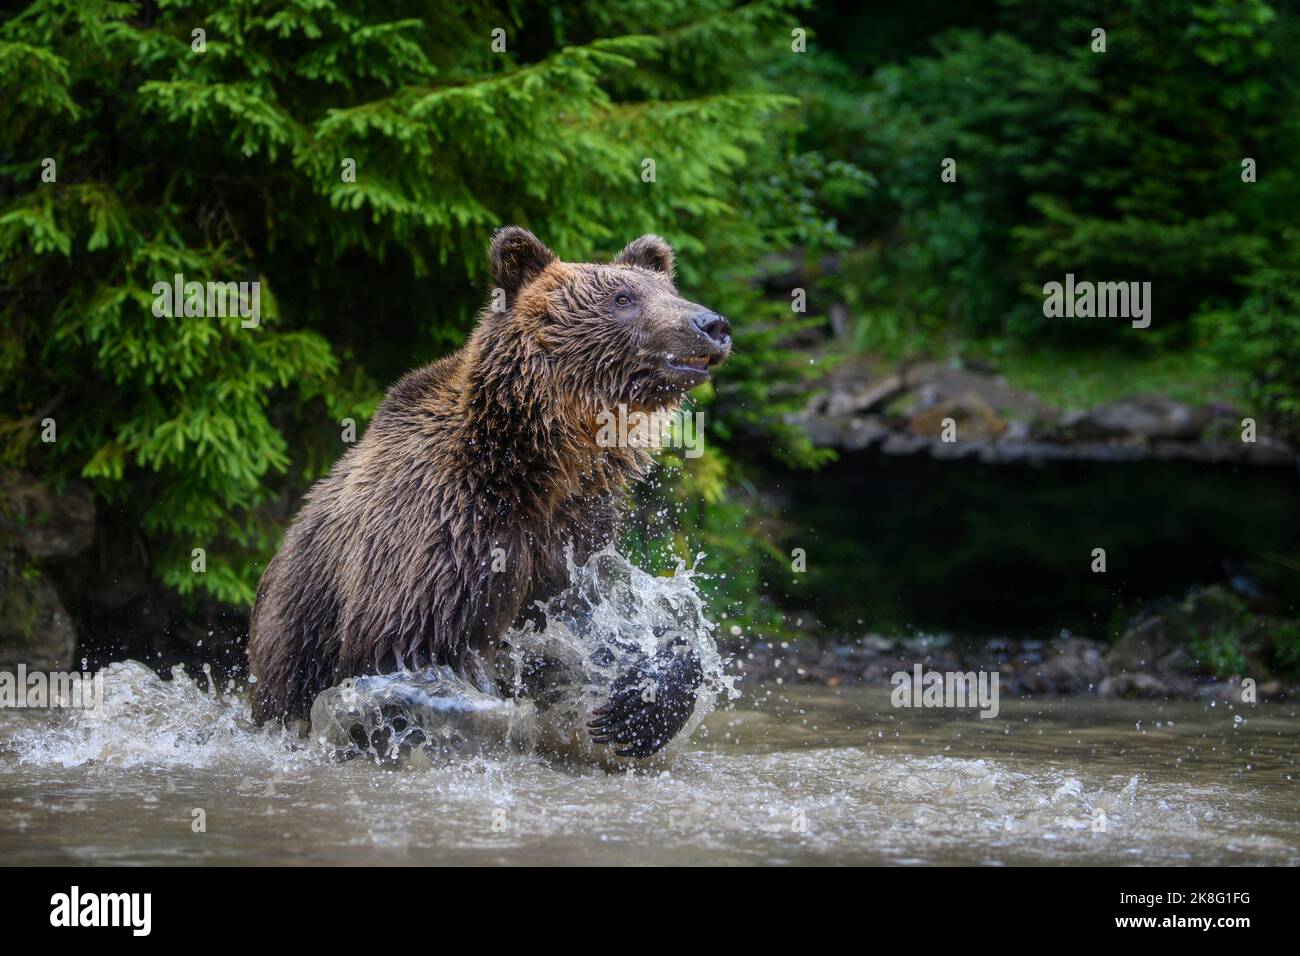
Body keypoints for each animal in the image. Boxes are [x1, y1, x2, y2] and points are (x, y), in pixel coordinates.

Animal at [247, 227, 731, 758]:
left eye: (670, 290)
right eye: (623, 299)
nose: (713, 324)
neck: (534, 465)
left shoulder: (573, 538)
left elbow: (589, 626)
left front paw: (639, 703)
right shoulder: (443, 527)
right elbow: (407, 648)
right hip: (290, 640)